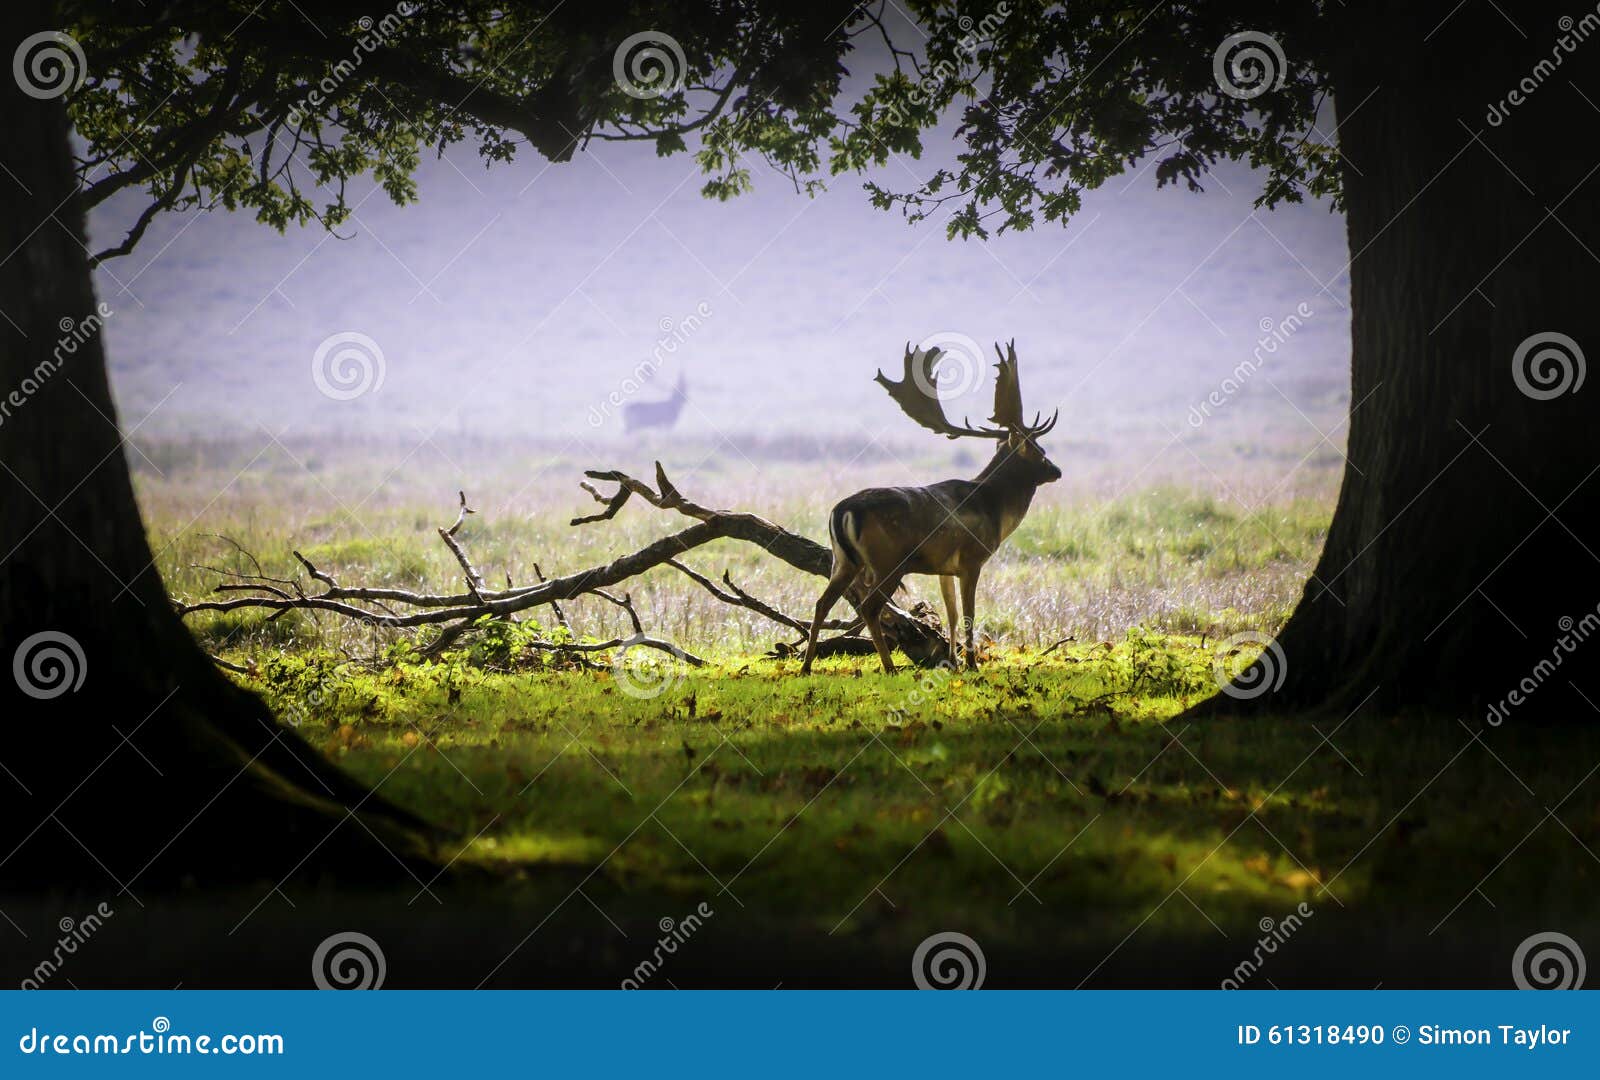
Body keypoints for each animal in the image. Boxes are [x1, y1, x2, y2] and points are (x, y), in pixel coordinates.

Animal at [800, 341, 1060, 675]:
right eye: (1039, 450)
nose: (1056, 471)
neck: (995, 510)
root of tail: (842, 511)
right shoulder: (971, 559)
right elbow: (968, 613)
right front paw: (972, 664)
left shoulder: (944, 567)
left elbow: (950, 613)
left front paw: (953, 661)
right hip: (888, 561)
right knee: (869, 607)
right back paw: (889, 666)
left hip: (843, 561)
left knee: (822, 602)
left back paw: (806, 666)